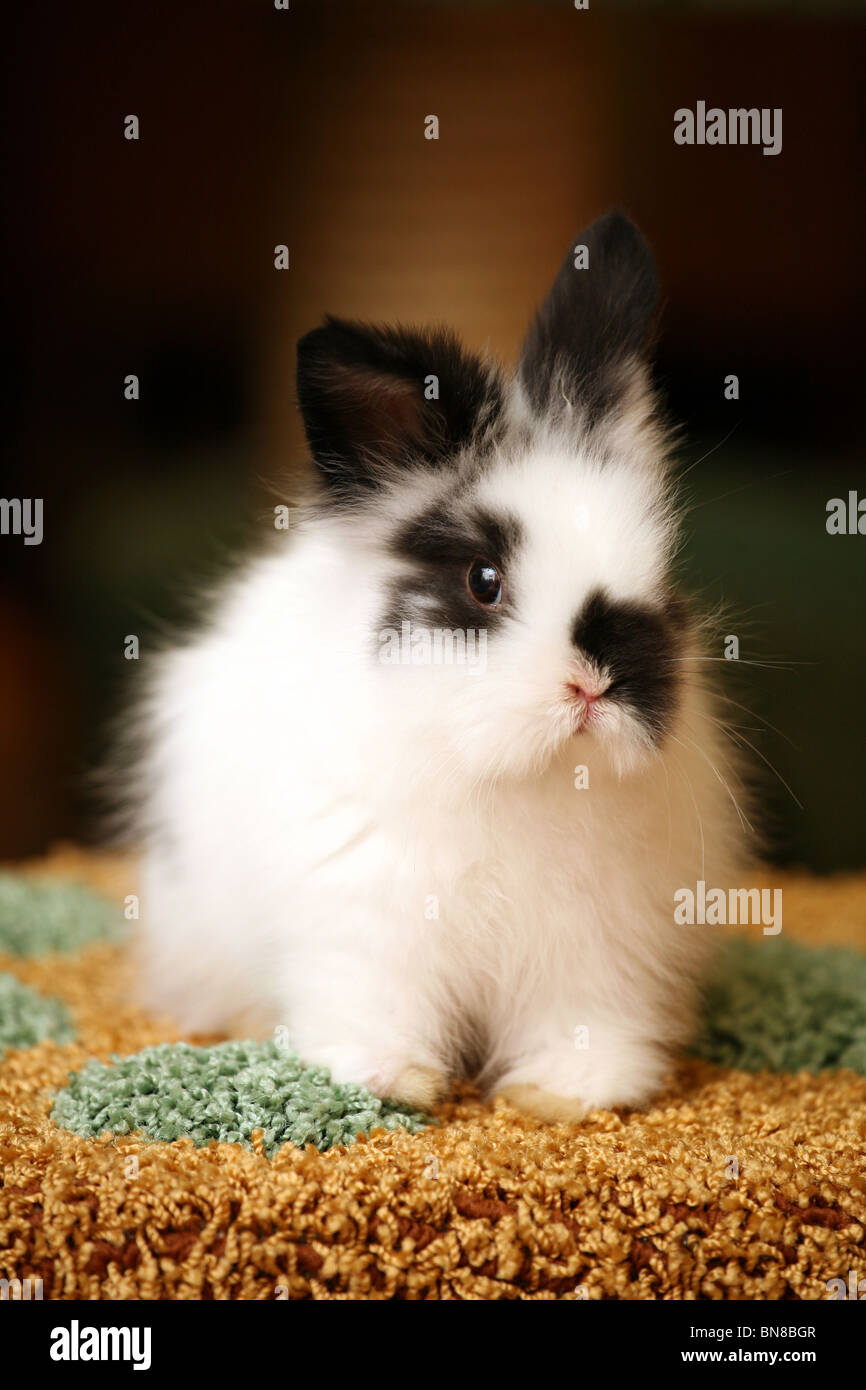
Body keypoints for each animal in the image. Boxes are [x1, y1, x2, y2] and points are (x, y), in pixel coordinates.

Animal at [128, 211, 750, 1122]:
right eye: (482, 581)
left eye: (664, 569)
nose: (596, 682)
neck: (520, 779)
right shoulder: (363, 920)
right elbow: (373, 1005)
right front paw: (392, 1081)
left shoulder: (595, 943)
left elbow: (580, 1018)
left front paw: (563, 1095)